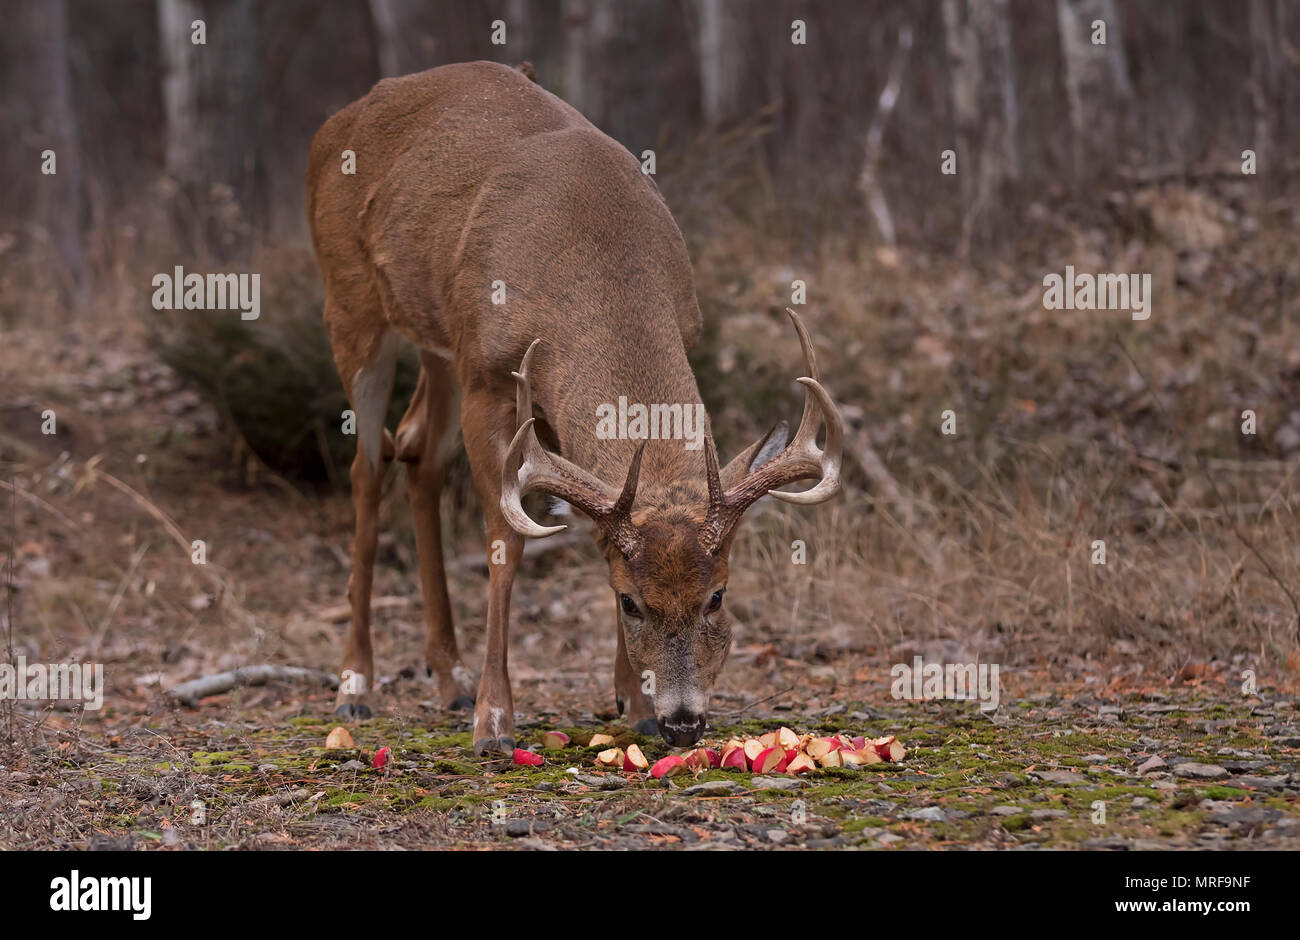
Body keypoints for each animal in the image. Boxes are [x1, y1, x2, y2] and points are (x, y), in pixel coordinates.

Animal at [307, 61, 842, 755]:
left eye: (718, 596)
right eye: (631, 602)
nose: (684, 722)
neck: (593, 252)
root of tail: (332, 126)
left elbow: (596, 523)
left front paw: (632, 702)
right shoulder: (488, 376)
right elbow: (506, 540)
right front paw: (495, 722)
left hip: (438, 339)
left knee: (418, 446)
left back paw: (449, 677)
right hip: (352, 308)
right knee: (366, 467)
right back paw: (355, 684)